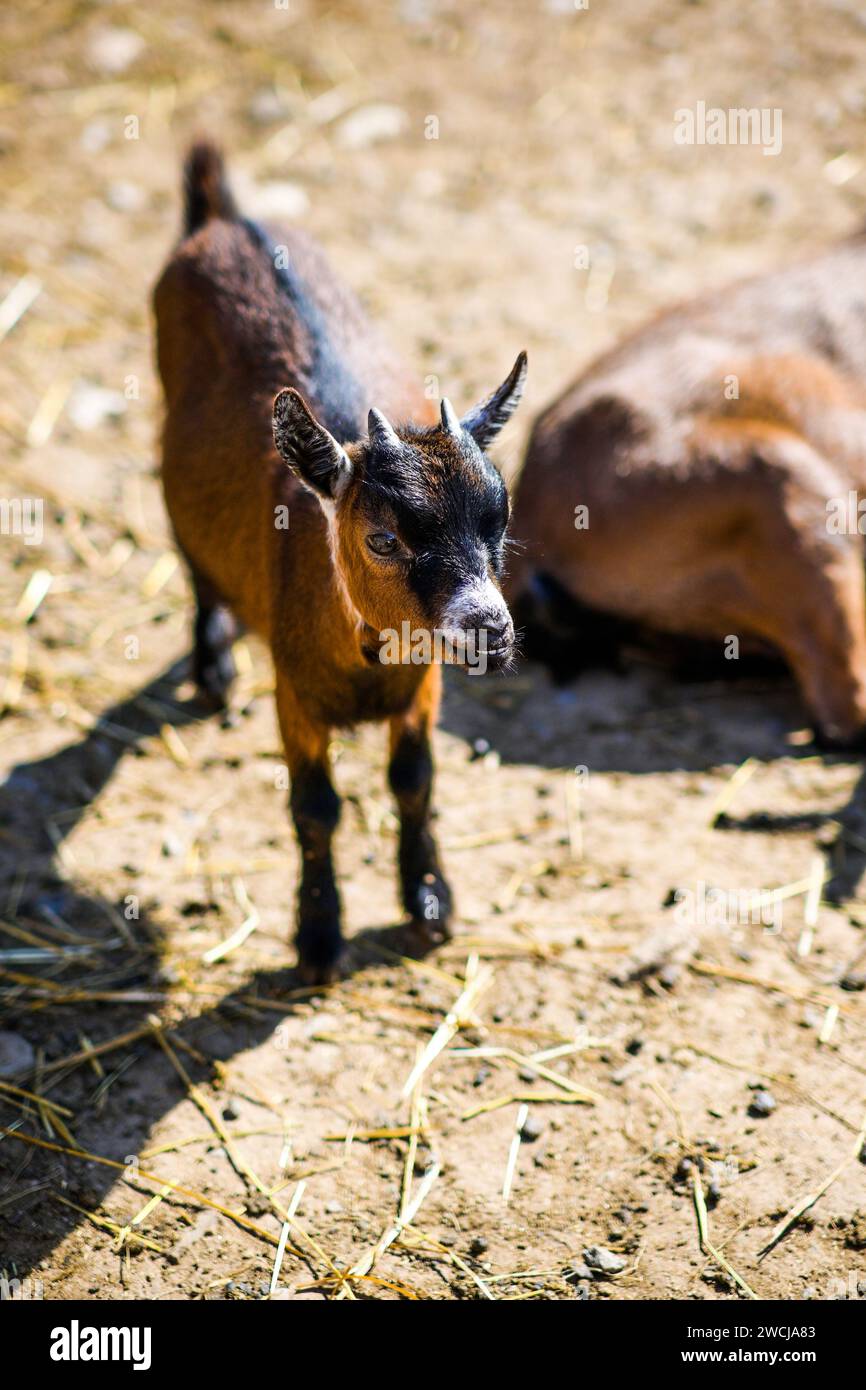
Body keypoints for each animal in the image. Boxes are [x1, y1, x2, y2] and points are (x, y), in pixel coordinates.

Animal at [154, 141, 527, 980]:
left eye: (500, 520)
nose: (489, 628)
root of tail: (227, 220)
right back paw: (211, 662)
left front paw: (428, 902)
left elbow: (413, 783)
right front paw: (318, 938)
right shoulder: (294, 696)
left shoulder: (423, 691)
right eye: (383, 539)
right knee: (190, 555)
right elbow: (314, 808)